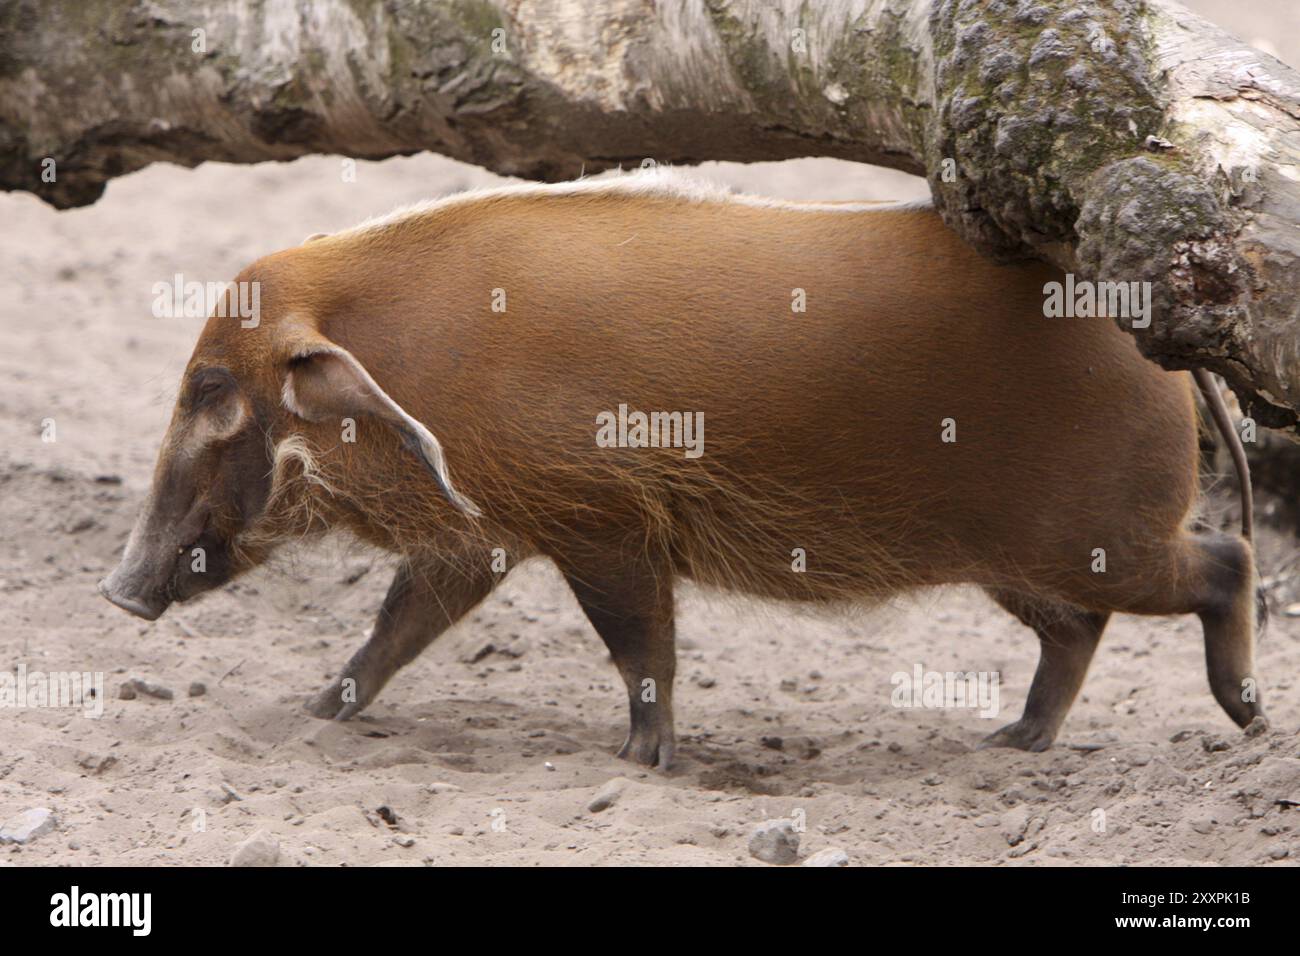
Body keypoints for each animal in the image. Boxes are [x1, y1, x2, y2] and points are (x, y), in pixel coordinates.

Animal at [99, 171, 1266, 768]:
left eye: (211, 385)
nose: (116, 591)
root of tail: (1165, 350)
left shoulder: (600, 523)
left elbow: (638, 644)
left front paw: (645, 760)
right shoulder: (484, 534)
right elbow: (394, 629)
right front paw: (315, 711)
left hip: (1093, 536)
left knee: (1223, 562)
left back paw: (1245, 716)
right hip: (1023, 558)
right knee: (1078, 632)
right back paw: (1015, 739)